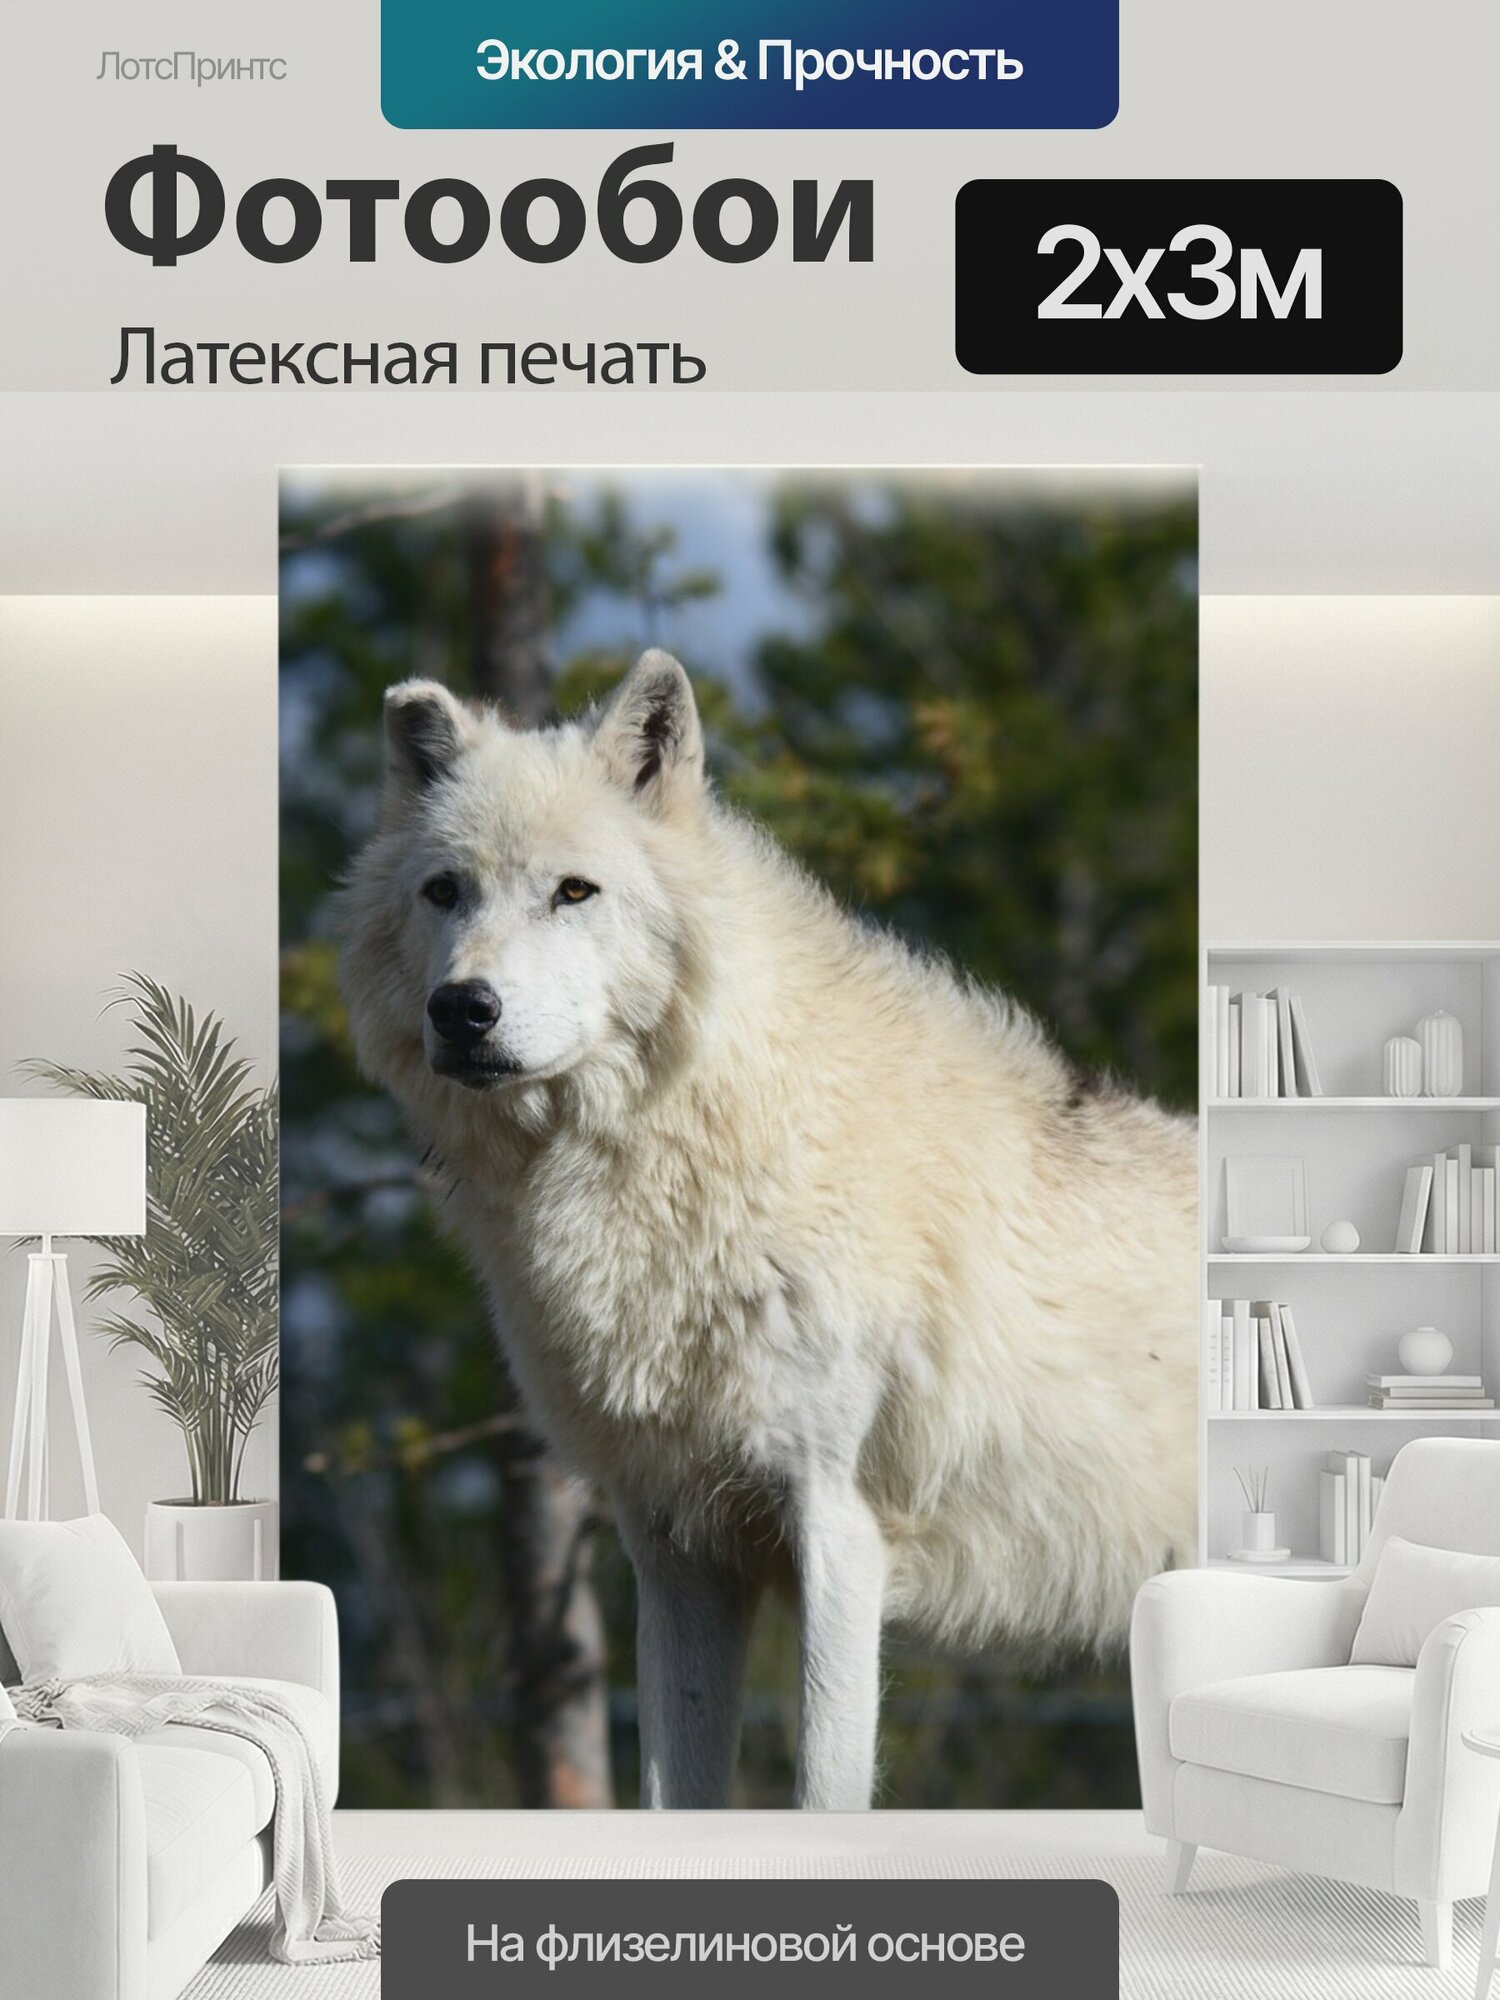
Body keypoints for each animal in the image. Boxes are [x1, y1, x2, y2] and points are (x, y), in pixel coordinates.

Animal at [339, 651, 1197, 1810]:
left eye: (574, 890)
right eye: (444, 890)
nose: (463, 1009)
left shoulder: (835, 1530)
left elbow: (822, 1793)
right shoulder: (674, 1546)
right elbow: (670, 1797)